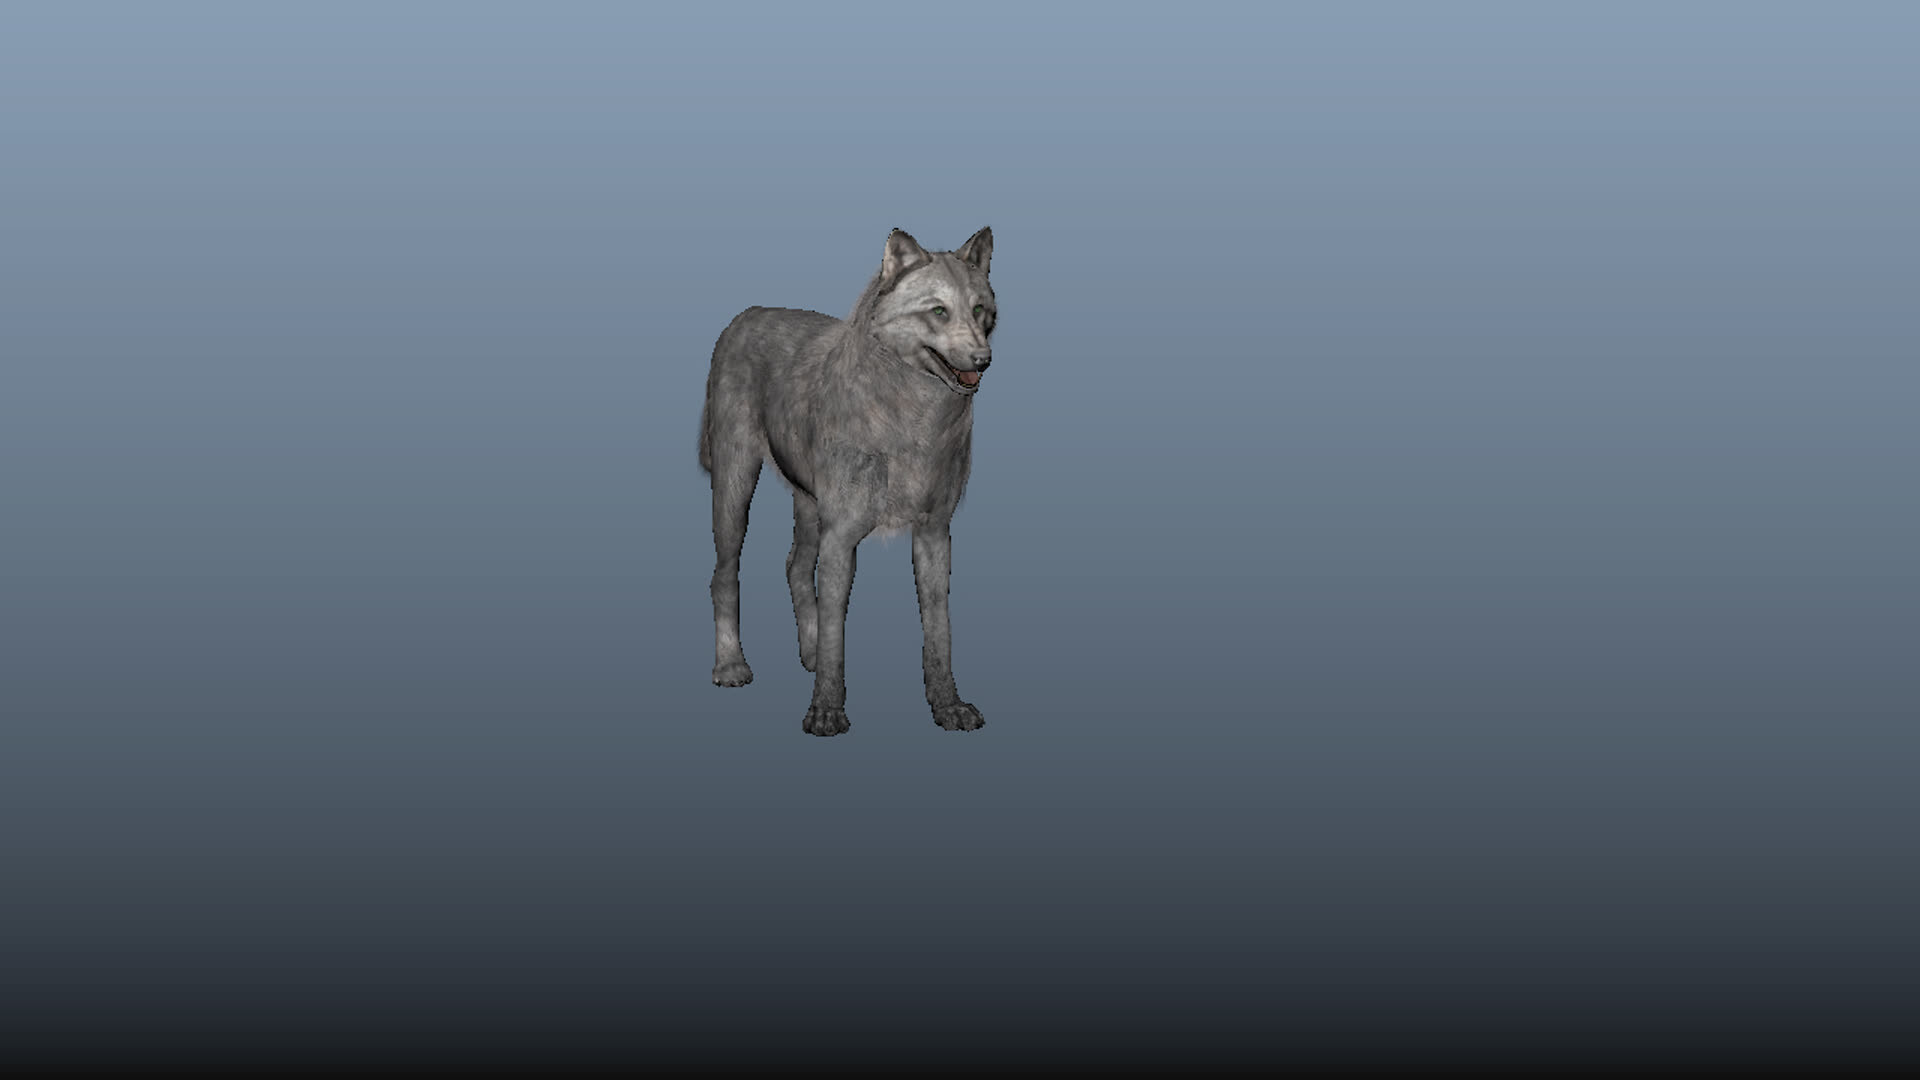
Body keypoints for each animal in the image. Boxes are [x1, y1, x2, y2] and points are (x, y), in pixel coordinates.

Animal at [698, 226, 997, 736]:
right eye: (938, 310)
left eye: (980, 310)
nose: (983, 359)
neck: (915, 423)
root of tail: (747, 313)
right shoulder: (841, 537)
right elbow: (837, 628)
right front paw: (825, 711)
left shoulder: (934, 532)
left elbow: (938, 629)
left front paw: (948, 707)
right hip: (736, 489)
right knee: (725, 574)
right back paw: (731, 667)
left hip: (808, 504)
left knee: (794, 567)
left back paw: (808, 654)